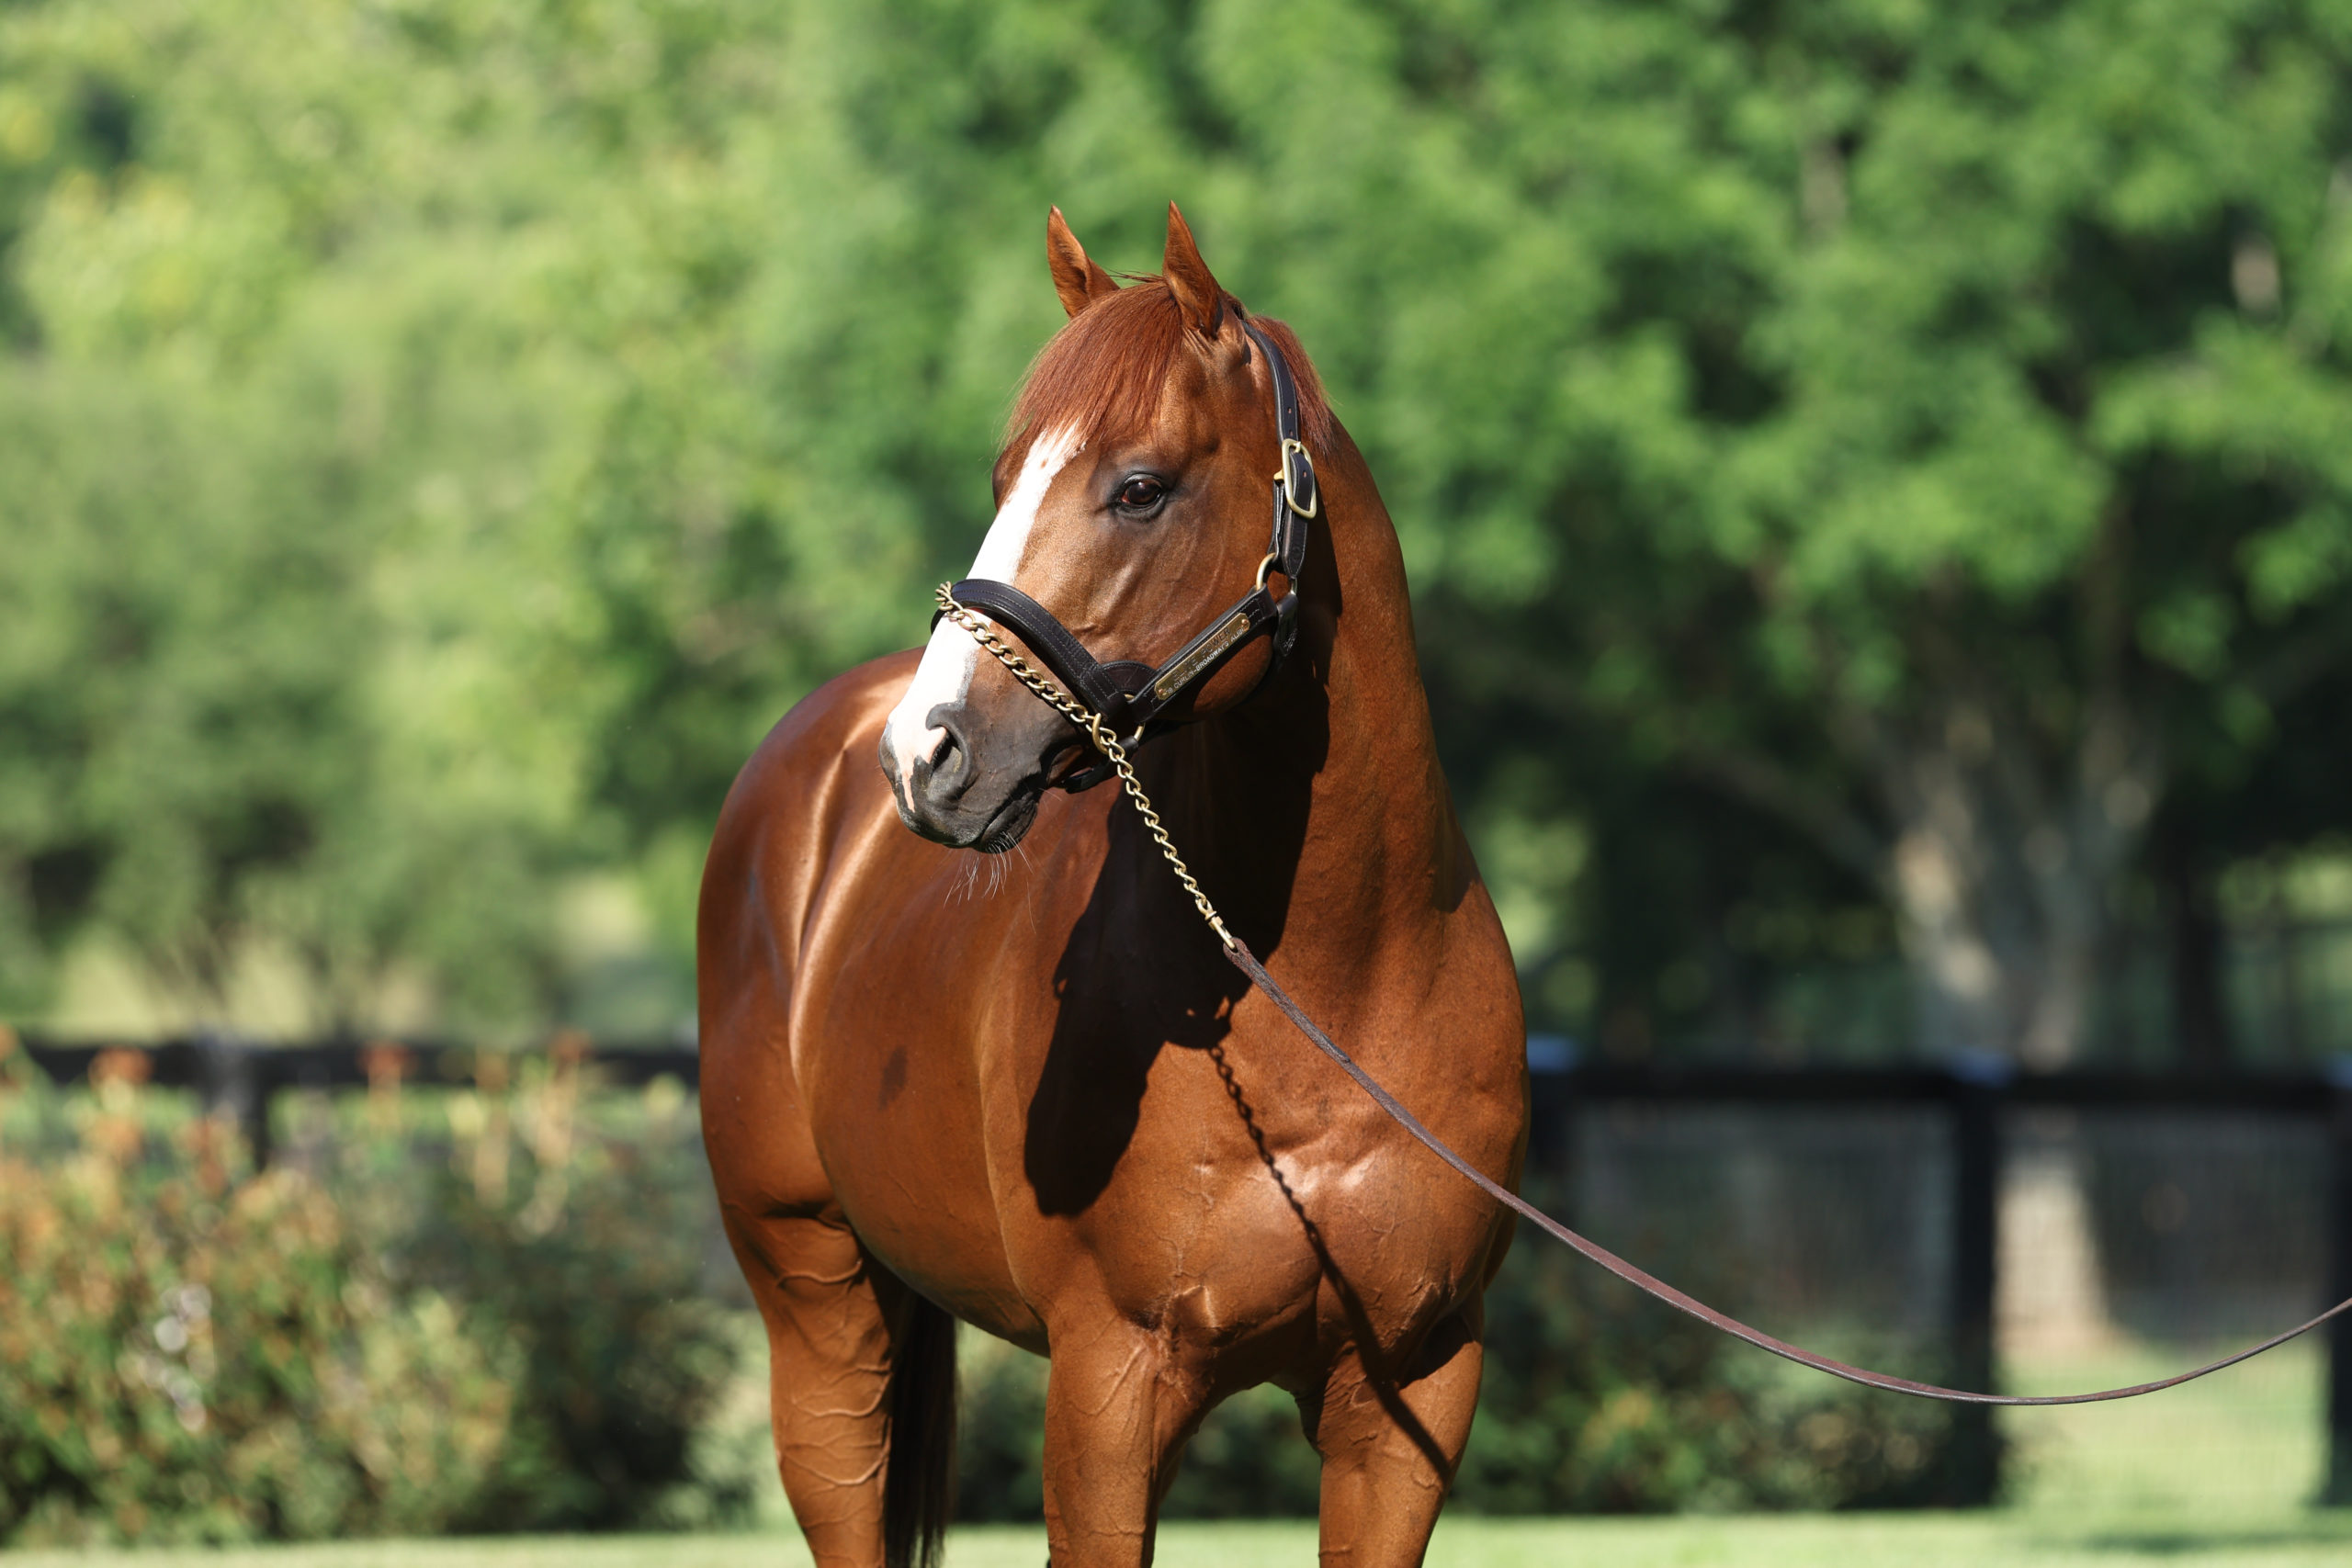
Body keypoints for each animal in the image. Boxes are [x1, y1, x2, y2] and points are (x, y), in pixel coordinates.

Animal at [698, 202, 1528, 1568]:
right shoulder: (1111, 1384)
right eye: (1004, 480)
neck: (1332, 998)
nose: (928, 753)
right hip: (817, 1315)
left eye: (1138, 487)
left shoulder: (1408, 1400)